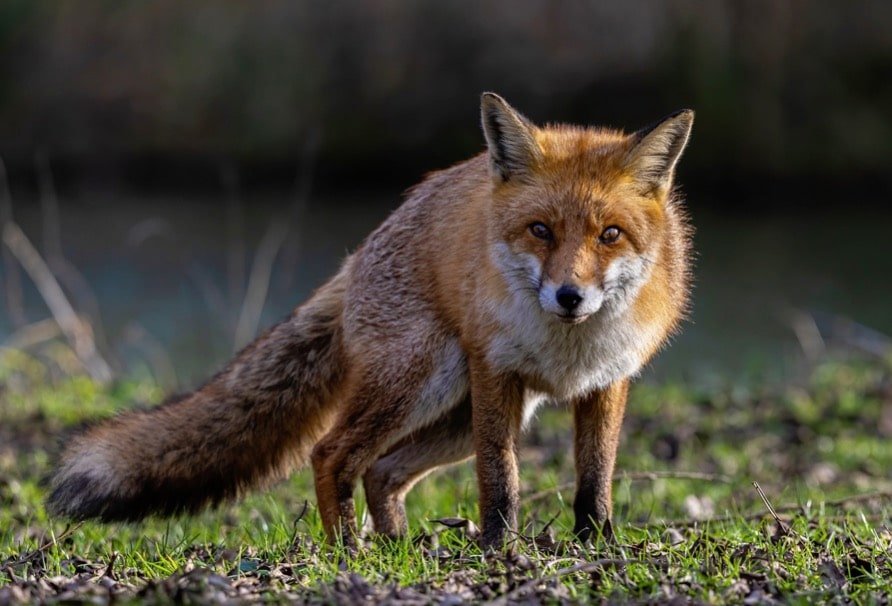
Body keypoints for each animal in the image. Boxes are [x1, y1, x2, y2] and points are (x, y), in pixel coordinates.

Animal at [47, 93, 694, 549]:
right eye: (540, 230)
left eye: (610, 235)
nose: (569, 296)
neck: (567, 349)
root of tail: (357, 254)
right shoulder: (496, 373)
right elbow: (500, 479)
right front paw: (499, 549)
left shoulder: (608, 381)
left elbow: (594, 479)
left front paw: (597, 546)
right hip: (426, 383)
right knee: (332, 454)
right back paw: (348, 551)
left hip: (456, 415)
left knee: (382, 470)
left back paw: (399, 547)